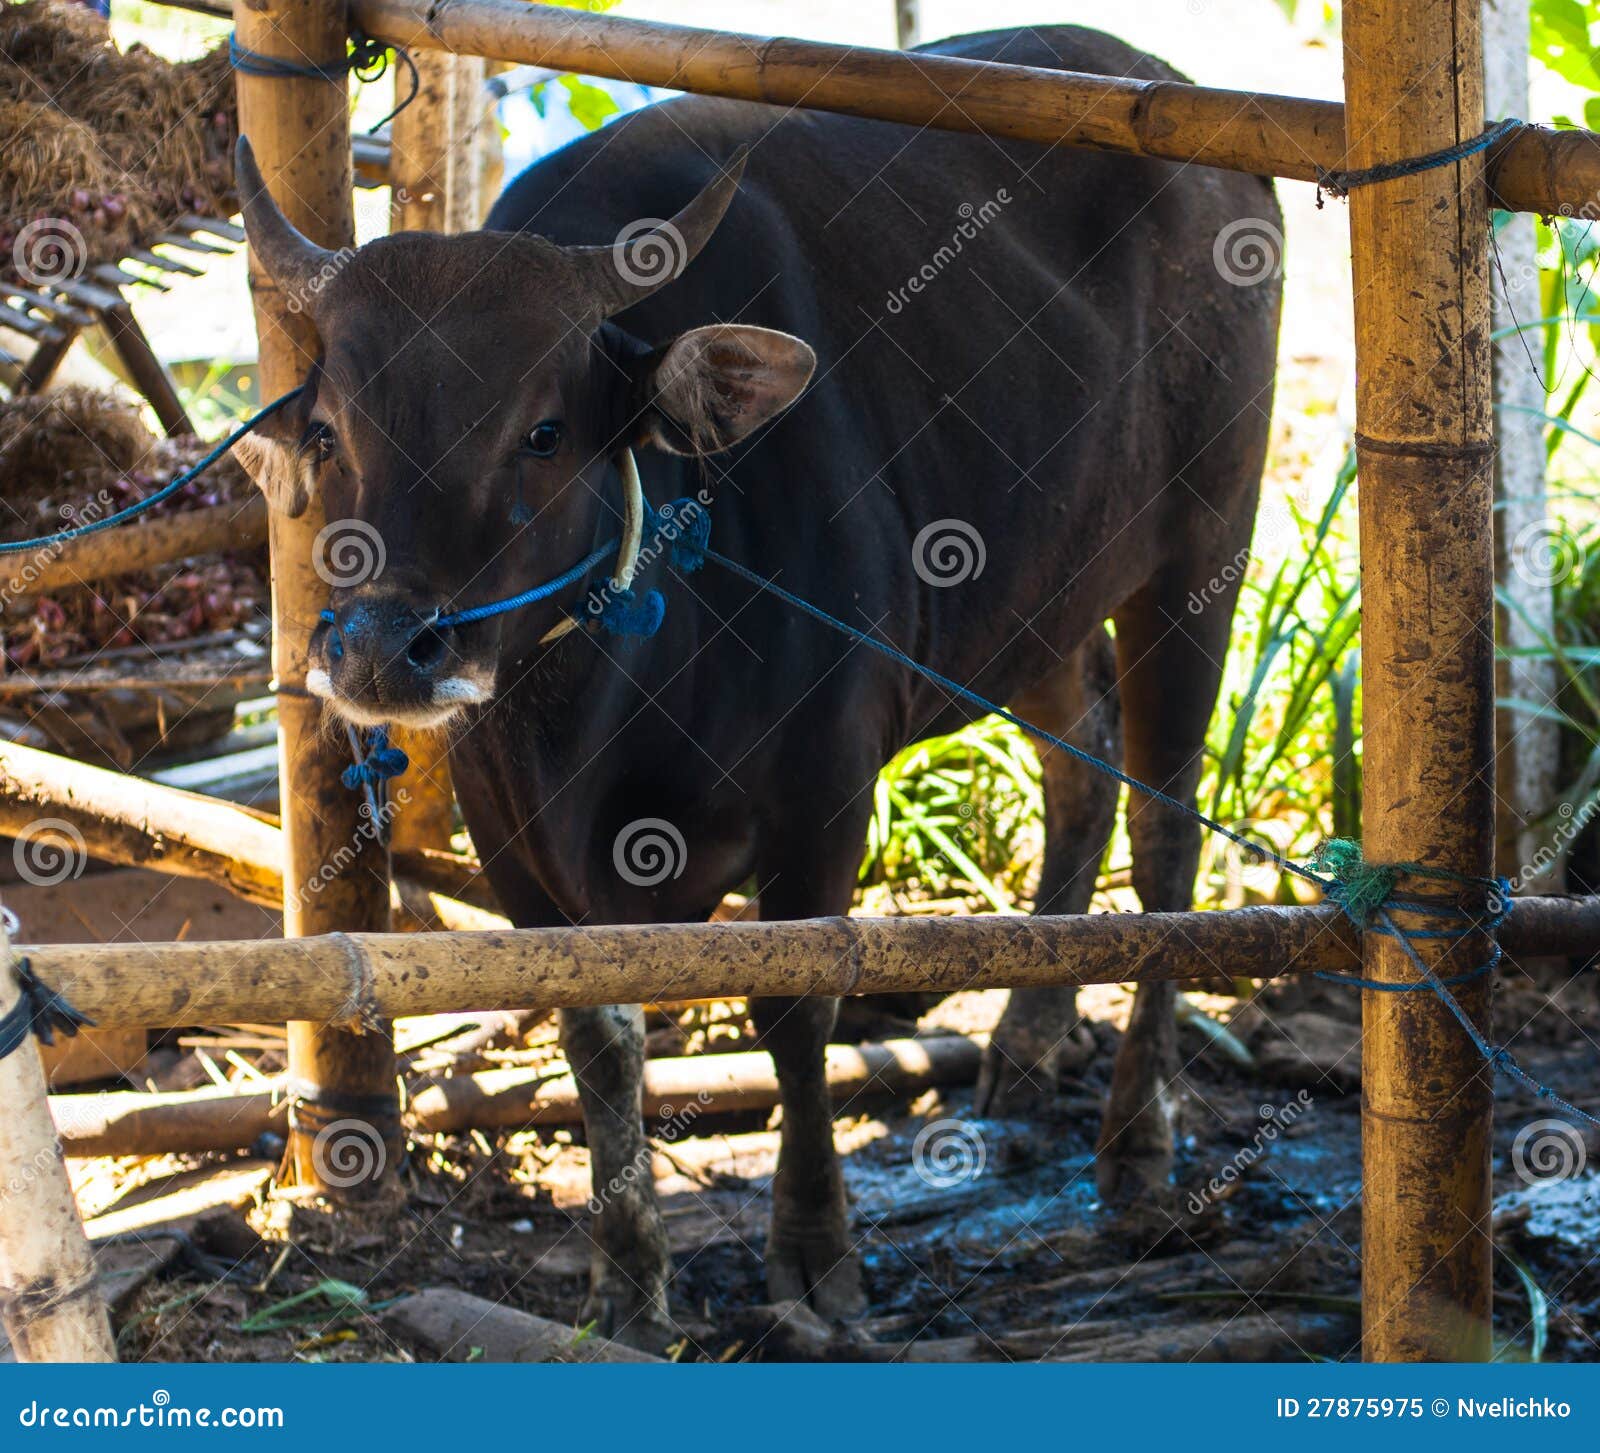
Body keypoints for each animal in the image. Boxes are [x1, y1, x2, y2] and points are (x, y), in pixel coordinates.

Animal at [231, 25, 1281, 1352]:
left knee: (1165, 832)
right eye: (328, 431)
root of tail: (1166, 92)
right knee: (1076, 761)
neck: (608, 704)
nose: (380, 648)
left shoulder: (823, 791)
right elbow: (595, 1034)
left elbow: (795, 1012)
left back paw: (1139, 1147)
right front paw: (627, 1285)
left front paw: (815, 1257)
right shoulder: (513, 837)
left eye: (541, 431)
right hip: (1035, 600)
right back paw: (1029, 1042)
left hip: (1199, 555)